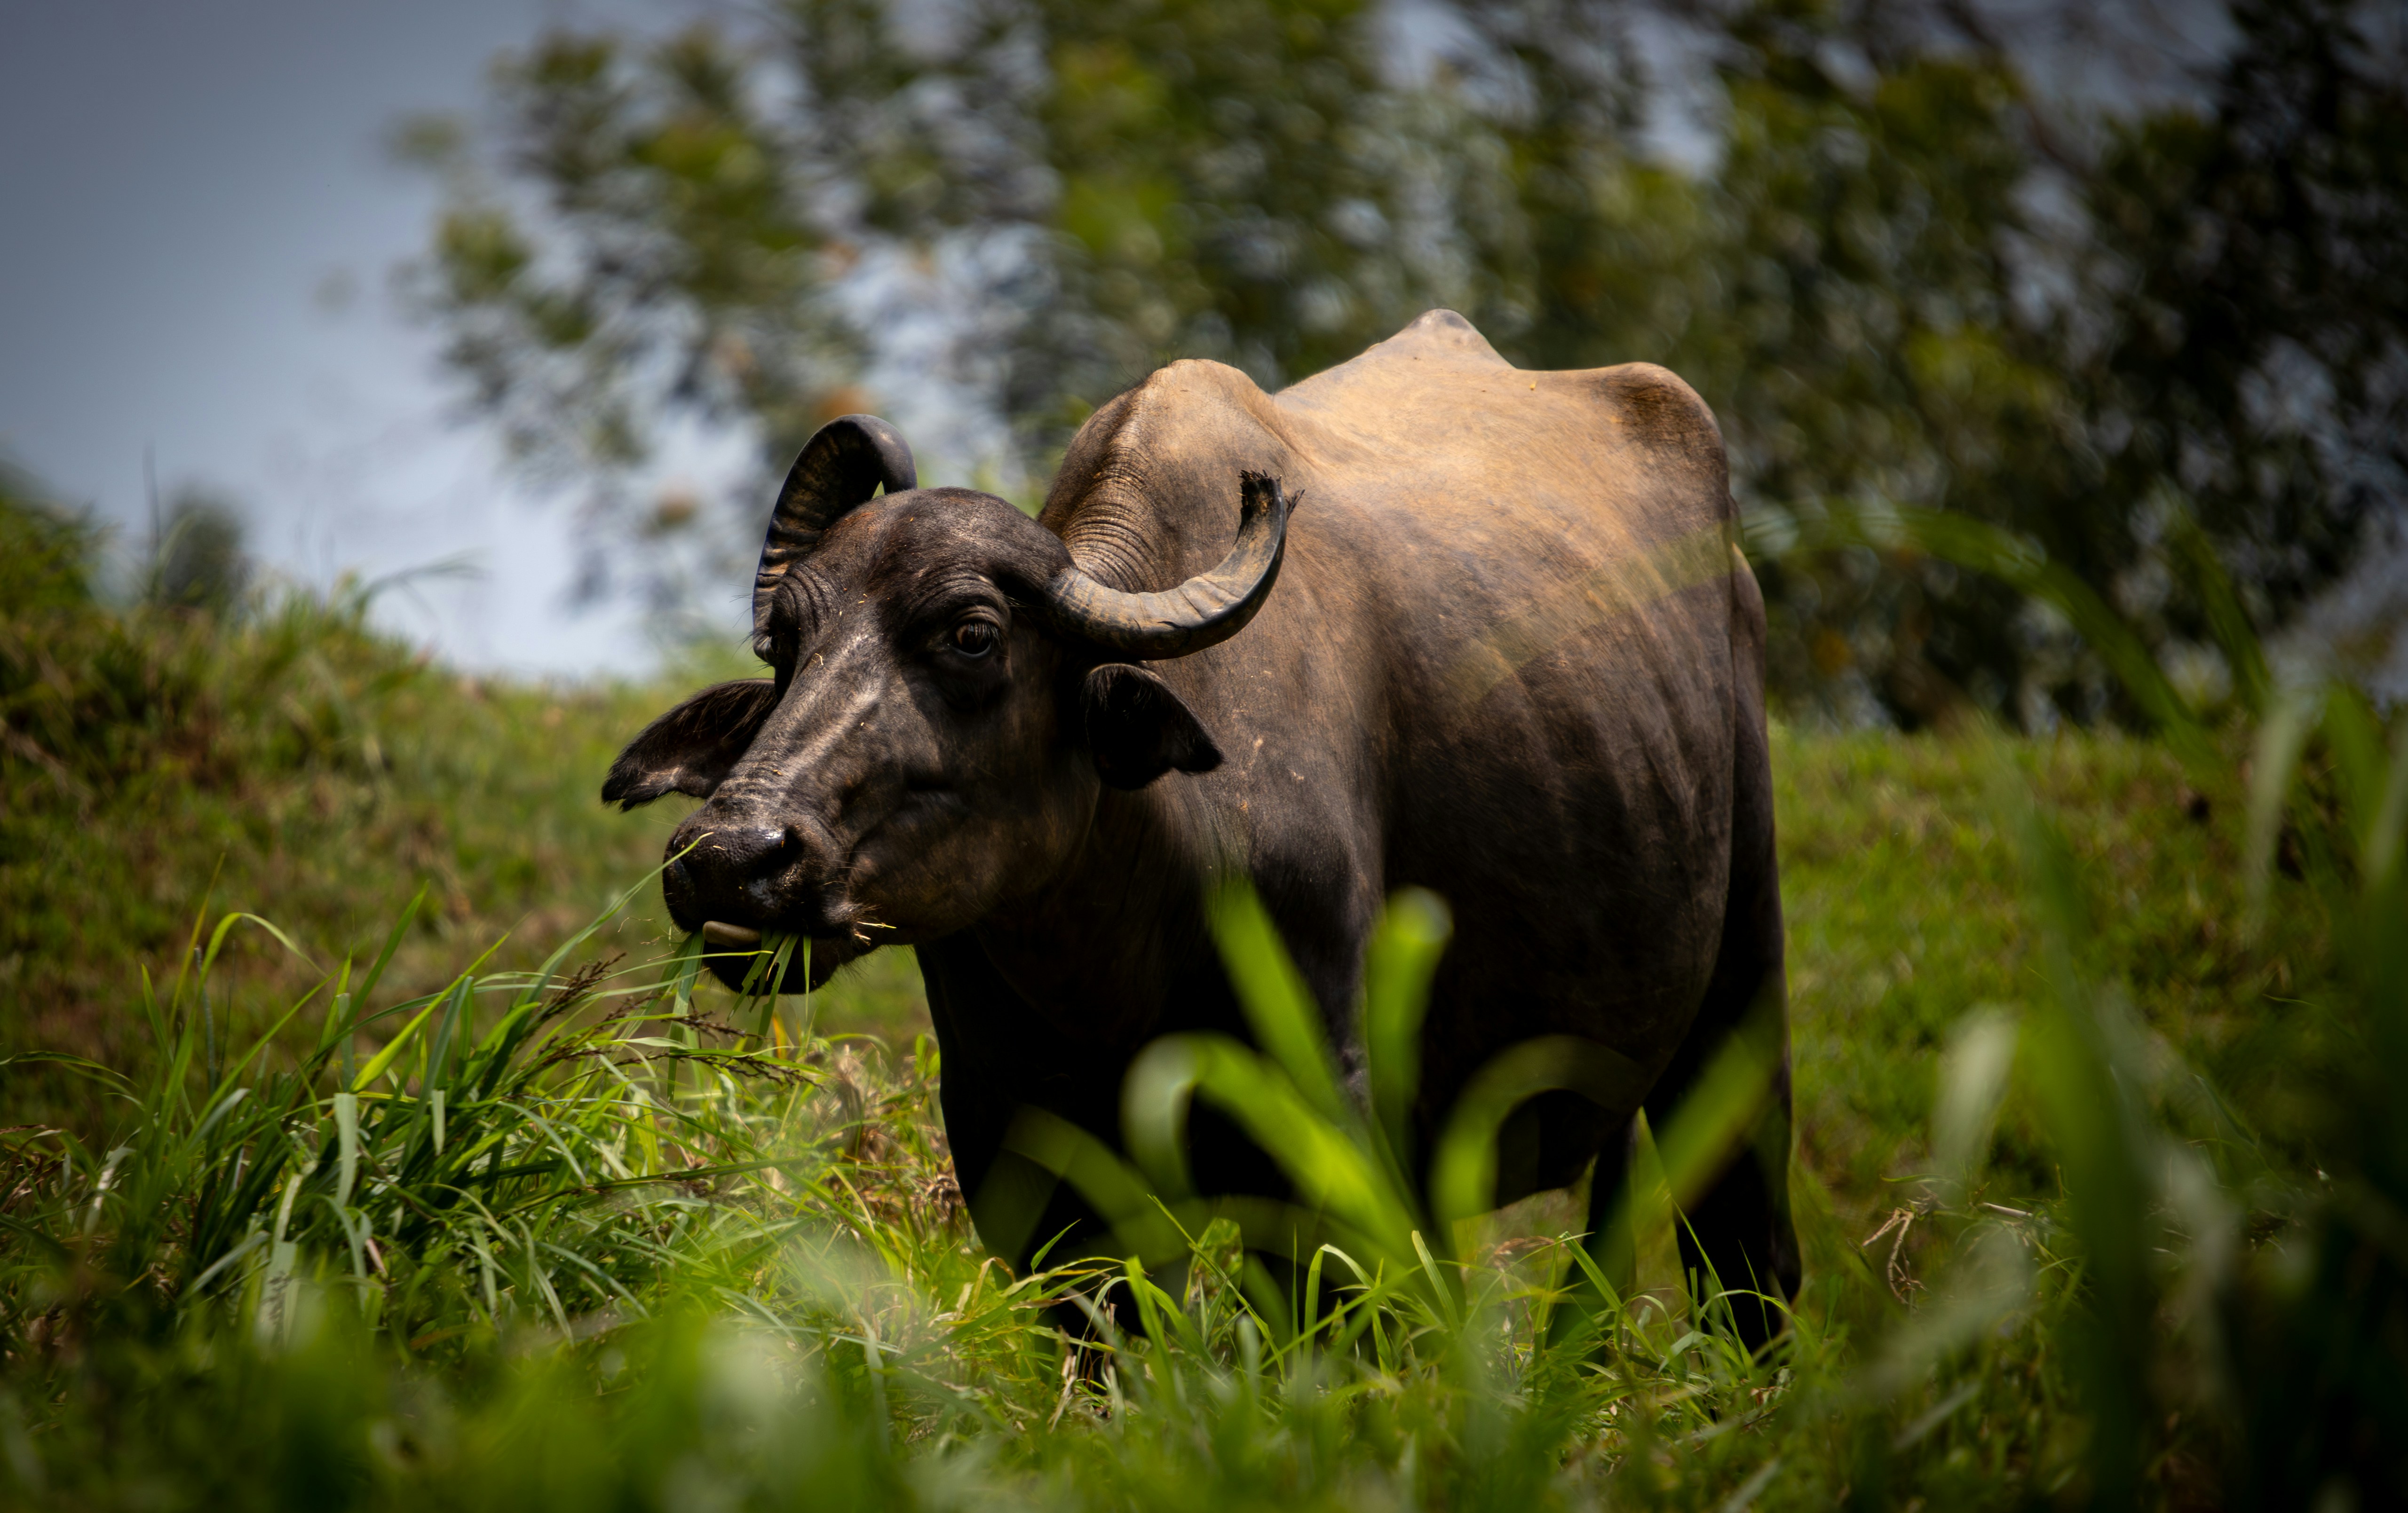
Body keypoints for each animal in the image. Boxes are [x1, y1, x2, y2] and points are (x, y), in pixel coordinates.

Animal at [604, 310, 1799, 1342]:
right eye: (785, 644)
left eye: (973, 634)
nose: (731, 857)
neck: (1120, 946)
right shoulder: (1031, 1165)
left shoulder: (1323, 1137)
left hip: (1740, 992)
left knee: (1749, 1244)